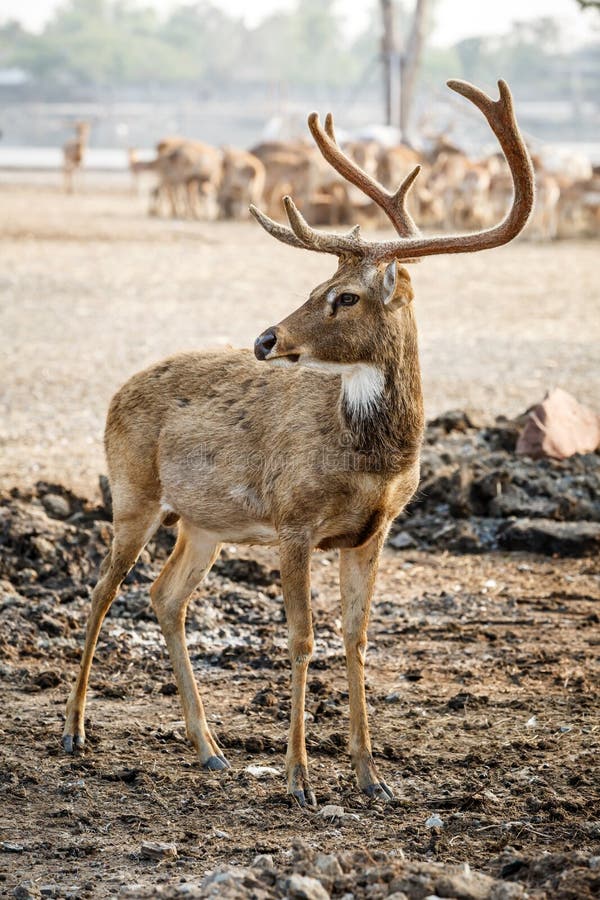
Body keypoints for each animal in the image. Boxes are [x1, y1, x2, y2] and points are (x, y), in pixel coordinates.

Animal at [62, 80, 534, 806]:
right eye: (316, 286)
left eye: (344, 297)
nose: (265, 339)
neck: (368, 459)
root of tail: (119, 390)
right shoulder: (293, 520)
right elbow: (302, 638)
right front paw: (299, 778)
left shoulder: (374, 530)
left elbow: (358, 638)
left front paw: (372, 776)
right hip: (134, 492)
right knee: (102, 592)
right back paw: (75, 733)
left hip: (203, 523)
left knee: (166, 597)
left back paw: (211, 749)